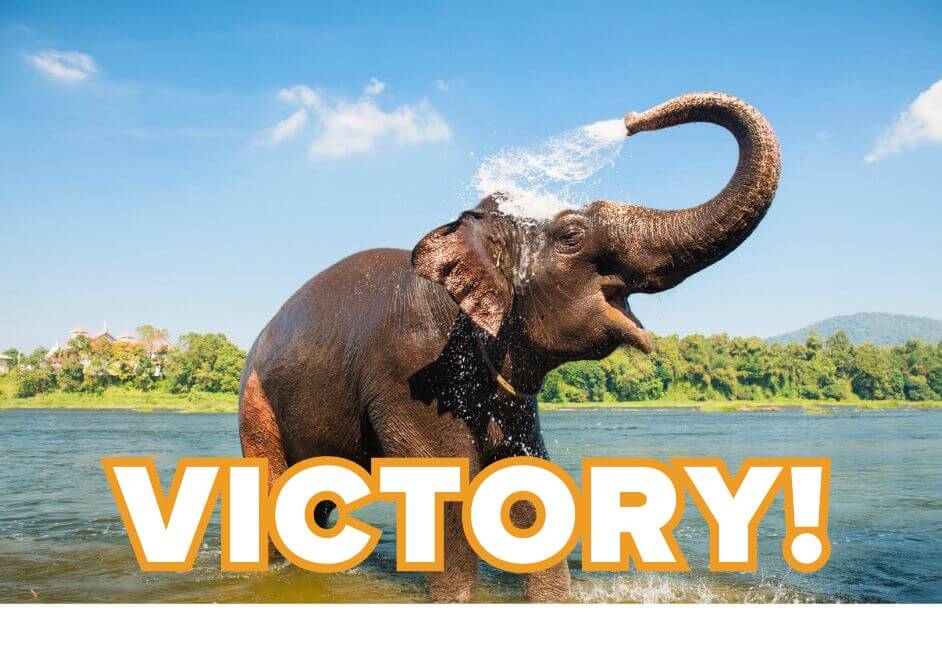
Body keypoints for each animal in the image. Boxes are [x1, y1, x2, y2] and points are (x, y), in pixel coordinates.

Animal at [239, 92, 781, 601]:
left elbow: (529, 479)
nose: (631, 120)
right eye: (571, 234)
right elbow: (445, 488)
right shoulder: (410, 371)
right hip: (255, 401)